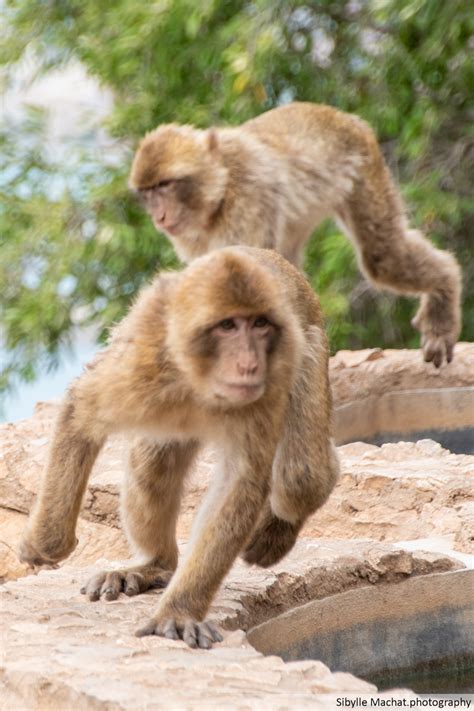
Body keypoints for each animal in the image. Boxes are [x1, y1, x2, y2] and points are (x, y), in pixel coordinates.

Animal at [19, 246, 339, 649]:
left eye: (260, 324)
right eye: (228, 326)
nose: (250, 364)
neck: (201, 378)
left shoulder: (272, 379)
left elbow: (240, 483)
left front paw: (178, 612)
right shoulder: (141, 361)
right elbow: (81, 409)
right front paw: (44, 544)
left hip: (310, 349)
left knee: (302, 478)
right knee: (153, 463)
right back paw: (154, 566)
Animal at [129, 102, 462, 369]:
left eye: (166, 185)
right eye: (148, 192)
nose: (159, 216)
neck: (219, 192)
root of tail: (336, 113)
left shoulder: (247, 199)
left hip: (363, 161)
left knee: (383, 257)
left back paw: (444, 294)